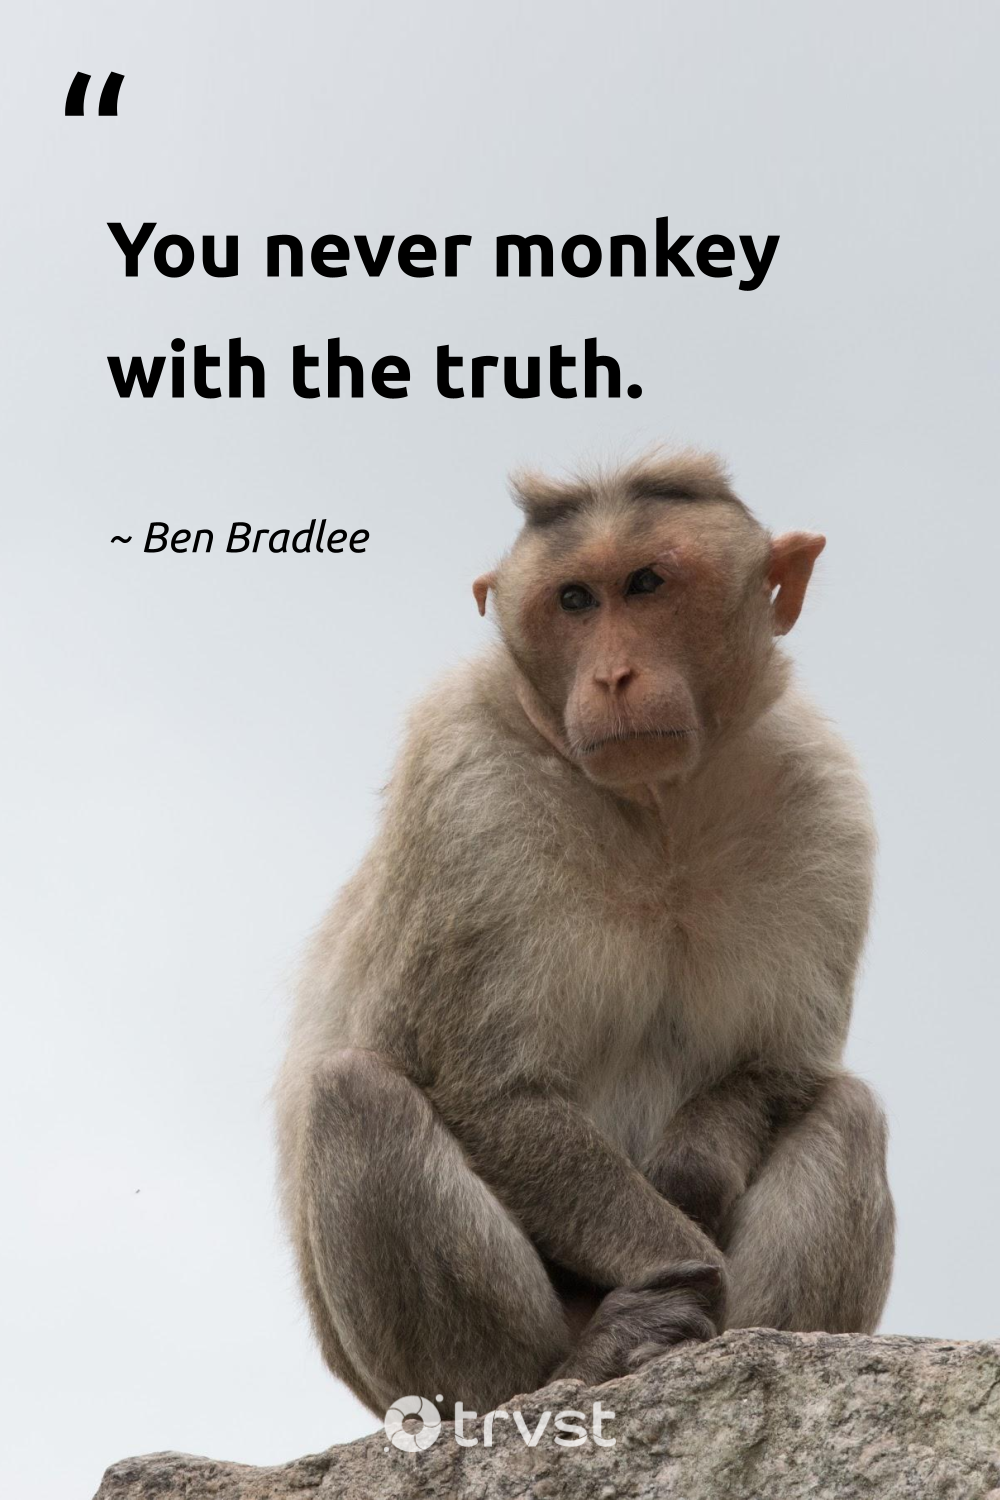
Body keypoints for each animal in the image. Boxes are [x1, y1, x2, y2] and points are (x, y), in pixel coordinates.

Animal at [274, 449, 895, 1422]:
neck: (655, 809)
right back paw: (579, 1367)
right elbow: (488, 1088)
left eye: (646, 584)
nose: (611, 679)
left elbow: (782, 1066)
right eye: (573, 600)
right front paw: (682, 1263)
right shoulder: (465, 782)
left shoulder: (823, 797)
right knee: (355, 1095)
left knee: (846, 1111)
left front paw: (693, 1174)